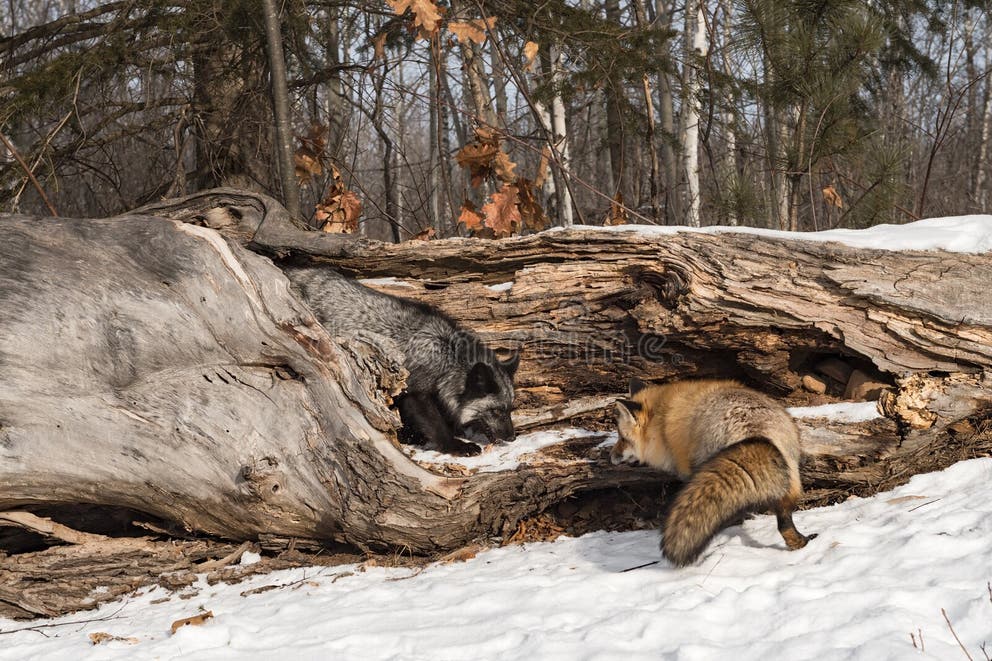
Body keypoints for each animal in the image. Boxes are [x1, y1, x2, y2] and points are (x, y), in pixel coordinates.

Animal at [284, 265, 518, 456]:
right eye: (496, 411)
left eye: (509, 409)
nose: (513, 437)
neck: (446, 357)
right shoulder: (415, 393)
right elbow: (436, 424)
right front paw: (453, 445)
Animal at [611, 378, 815, 567]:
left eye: (622, 438)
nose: (611, 456)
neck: (662, 423)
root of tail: (760, 434)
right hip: (790, 480)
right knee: (784, 524)